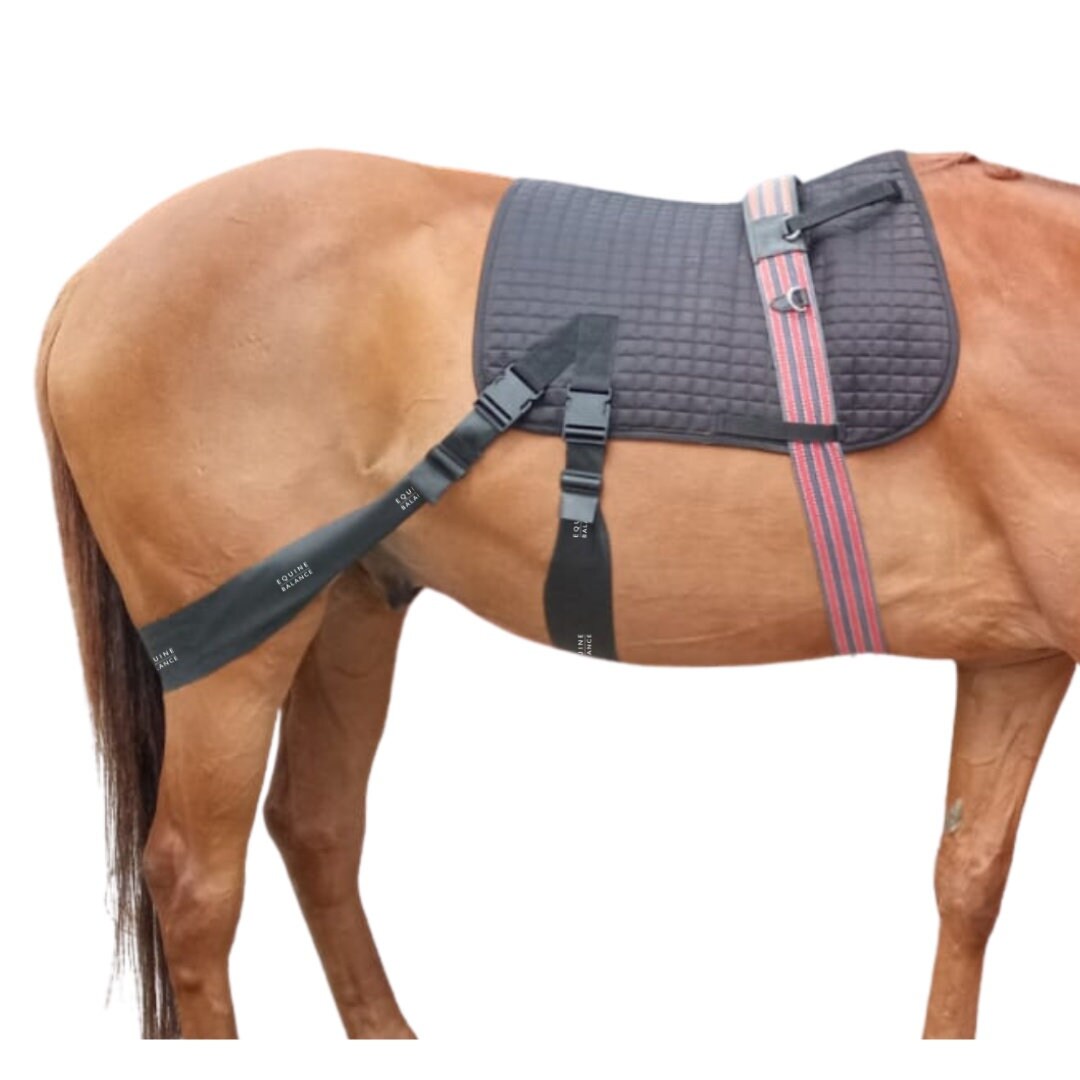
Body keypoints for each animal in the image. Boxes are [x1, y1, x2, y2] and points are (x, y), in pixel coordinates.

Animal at [36, 148, 1080, 1039]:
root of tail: (88, 281)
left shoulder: (1018, 658)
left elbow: (969, 877)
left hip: (347, 610)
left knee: (317, 824)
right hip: (237, 646)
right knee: (196, 880)